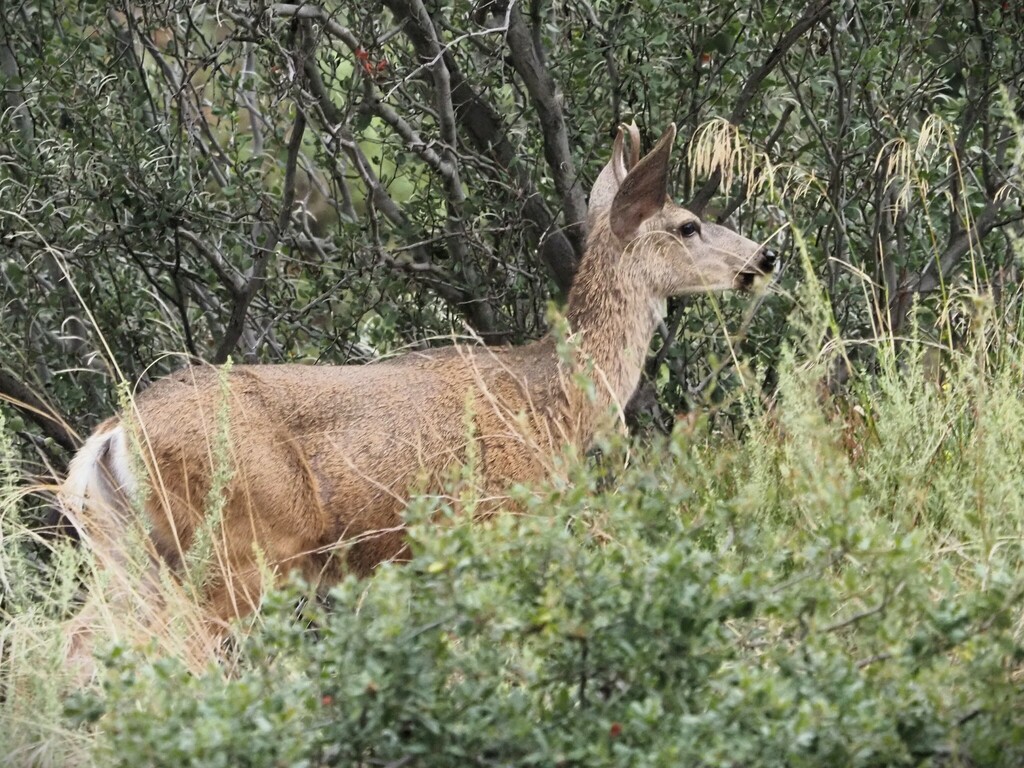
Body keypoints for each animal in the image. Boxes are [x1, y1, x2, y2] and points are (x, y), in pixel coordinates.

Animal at [61, 122, 776, 640]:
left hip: (131, 552)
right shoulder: (497, 520)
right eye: (688, 225)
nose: (766, 257)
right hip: (237, 546)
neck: (551, 401)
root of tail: (113, 433)